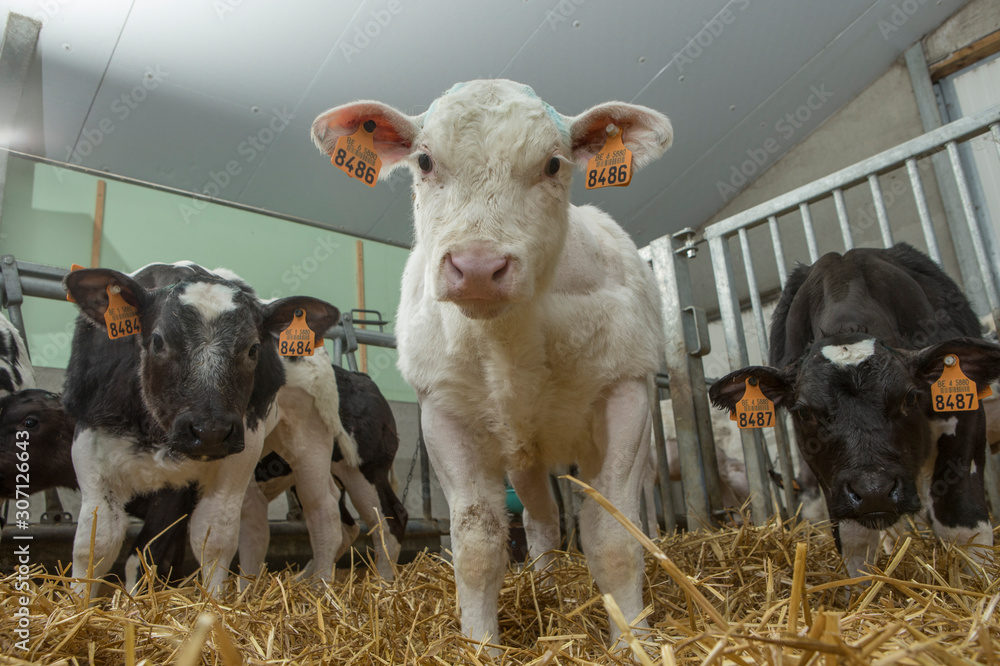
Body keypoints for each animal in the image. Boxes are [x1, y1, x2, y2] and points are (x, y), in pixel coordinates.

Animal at [63, 262, 340, 596]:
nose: (211, 430)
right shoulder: (89, 447)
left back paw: (323, 587)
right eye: (158, 341)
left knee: (323, 509)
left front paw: (213, 602)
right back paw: (246, 588)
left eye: (253, 348)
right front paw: (77, 604)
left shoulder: (238, 453)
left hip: (311, 433)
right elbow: (96, 543)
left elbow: (212, 537)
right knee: (256, 519)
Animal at [312, 79, 672, 648]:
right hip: (525, 452)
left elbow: (614, 534)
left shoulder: (627, 391)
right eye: (424, 160)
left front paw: (634, 640)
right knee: (543, 520)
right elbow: (477, 544)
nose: (478, 267)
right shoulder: (443, 412)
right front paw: (481, 644)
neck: (509, 337)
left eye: (553, 164)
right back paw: (545, 586)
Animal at [709, 244, 1000, 577]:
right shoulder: (828, 475)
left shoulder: (964, 417)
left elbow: (962, 522)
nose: (874, 490)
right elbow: (855, 541)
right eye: (804, 413)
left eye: (910, 398)